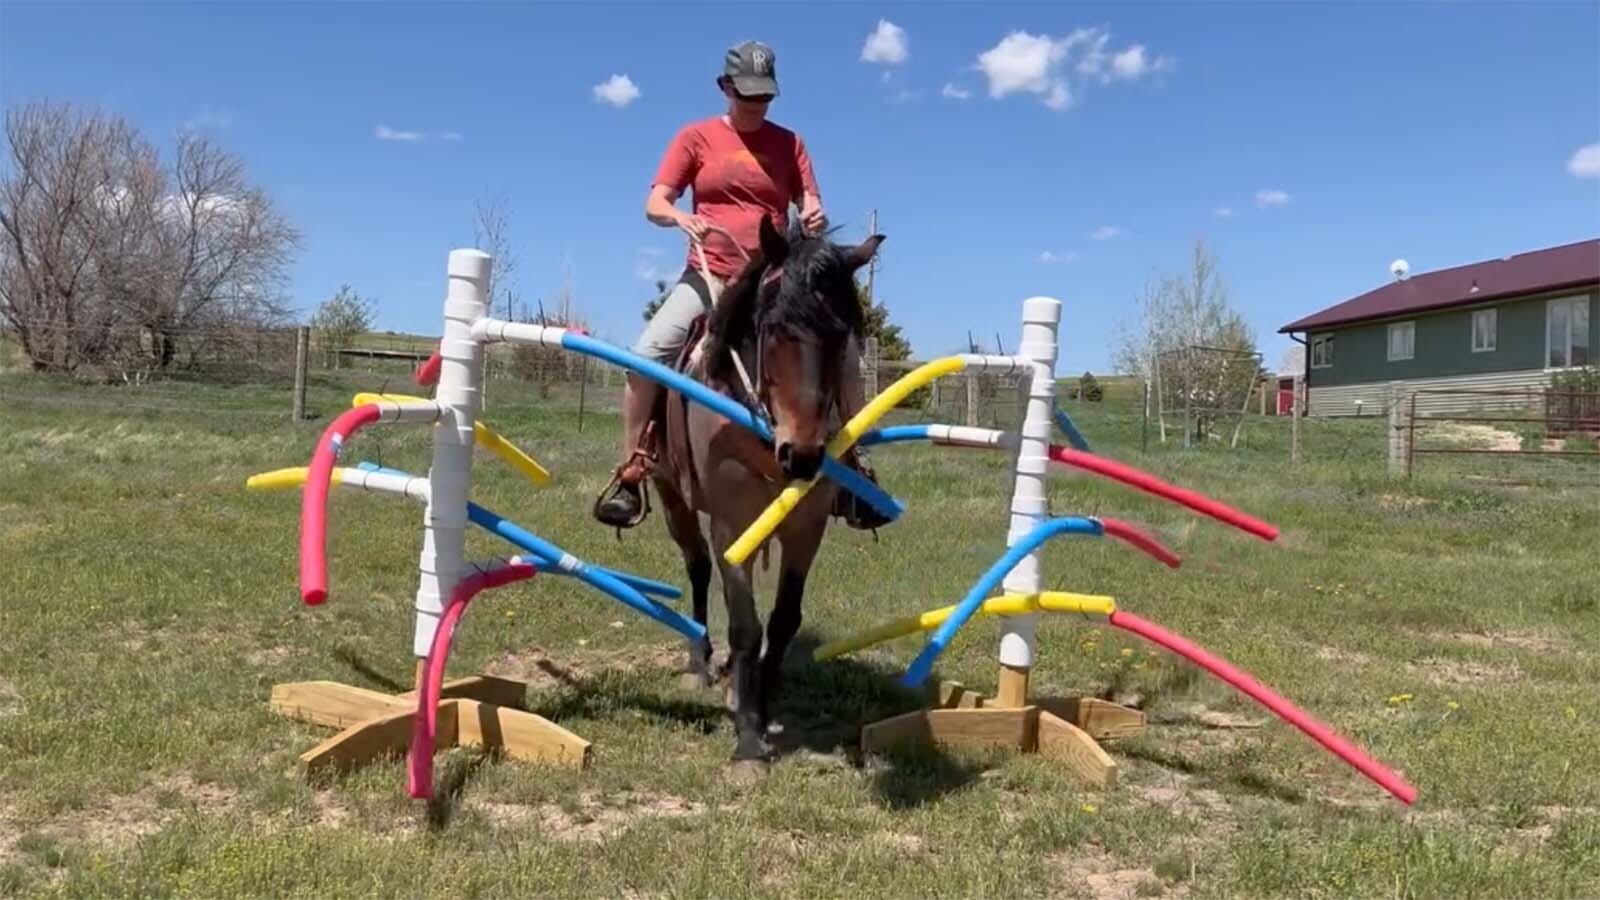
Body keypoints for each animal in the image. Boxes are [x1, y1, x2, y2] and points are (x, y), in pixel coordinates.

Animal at [649, 215, 883, 777]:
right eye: (774, 328)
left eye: (841, 336)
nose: (802, 455)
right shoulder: (729, 528)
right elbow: (745, 626)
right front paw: (749, 740)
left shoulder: (804, 530)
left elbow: (781, 623)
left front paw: (762, 701)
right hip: (673, 499)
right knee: (696, 568)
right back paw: (701, 664)